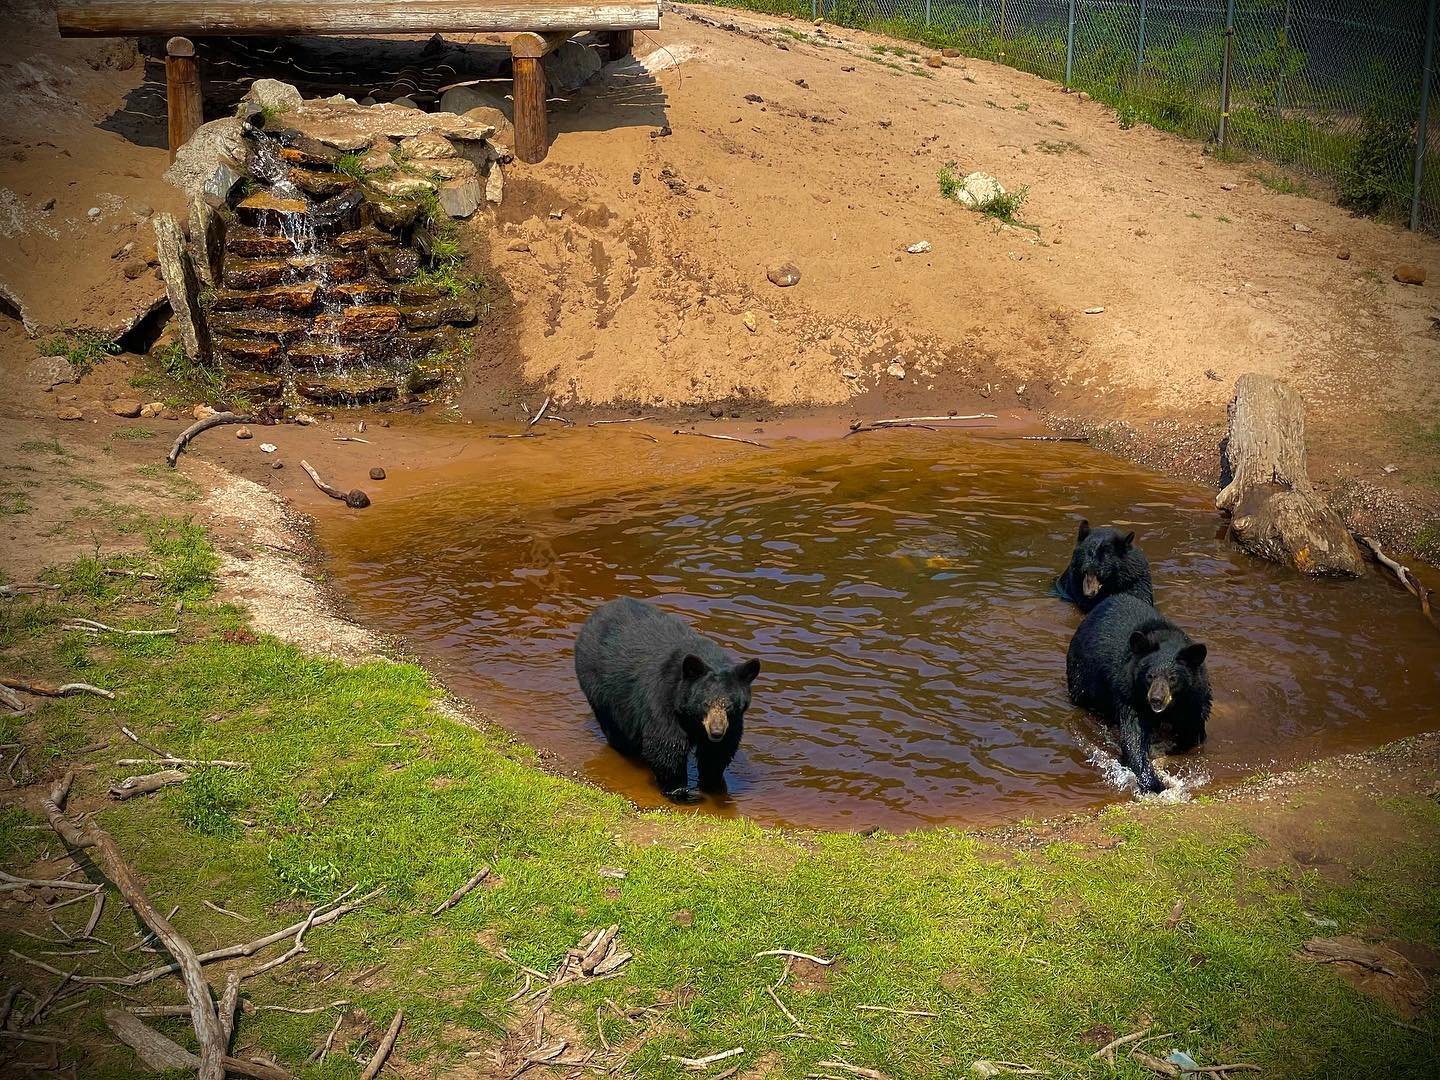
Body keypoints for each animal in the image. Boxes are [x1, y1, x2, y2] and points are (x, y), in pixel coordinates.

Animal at [574, 597, 761, 803]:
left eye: (729, 706)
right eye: (704, 703)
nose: (716, 731)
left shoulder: (732, 722)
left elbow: (718, 752)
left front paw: (714, 786)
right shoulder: (663, 700)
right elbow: (667, 745)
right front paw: (680, 791)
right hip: (599, 686)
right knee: (614, 726)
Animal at [1065, 594, 1210, 795]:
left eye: (1173, 678)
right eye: (1149, 676)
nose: (1156, 699)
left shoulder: (1194, 700)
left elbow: (1192, 733)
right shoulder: (1129, 694)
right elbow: (1134, 735)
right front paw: (1153, 783)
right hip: (1082, 675)